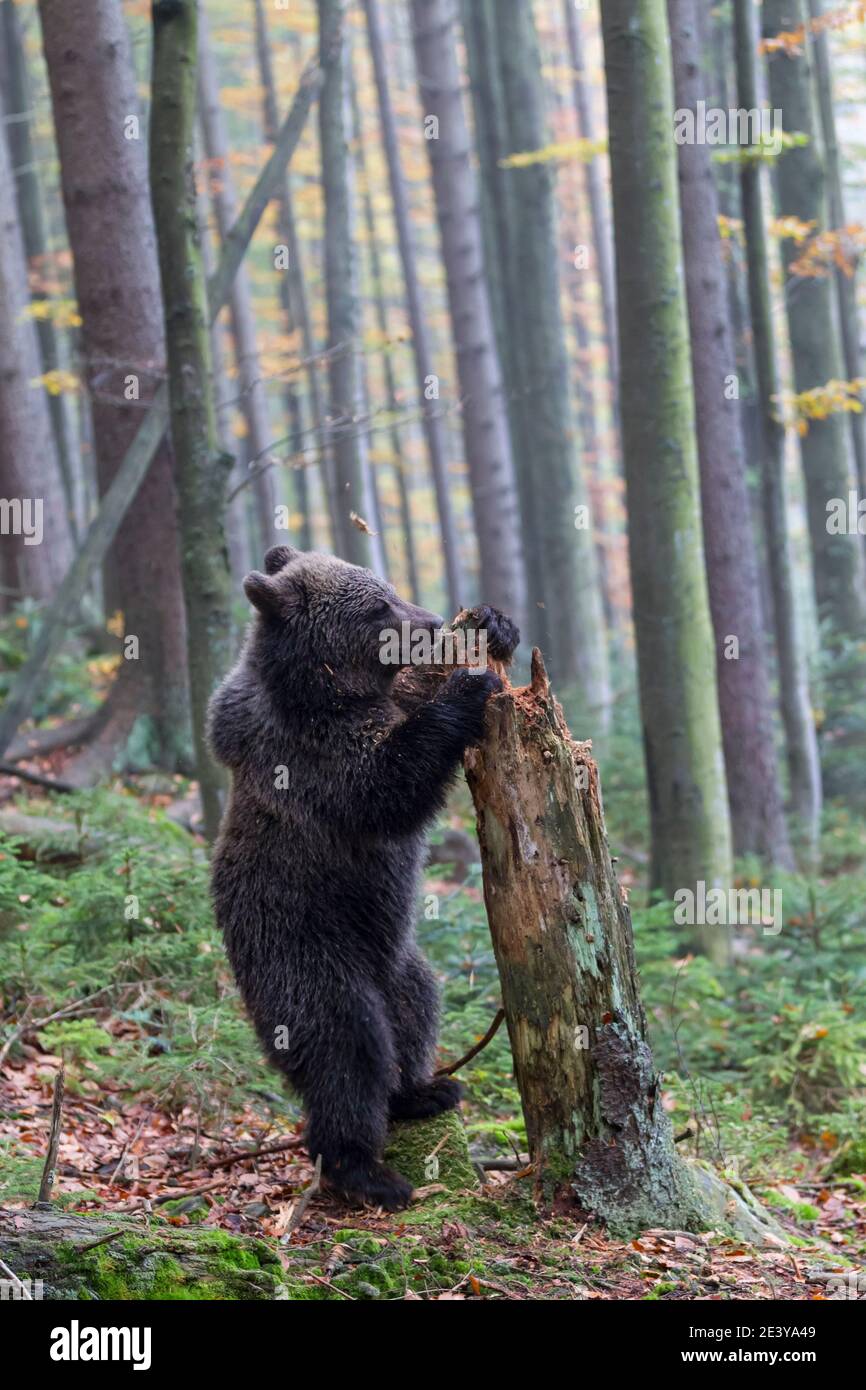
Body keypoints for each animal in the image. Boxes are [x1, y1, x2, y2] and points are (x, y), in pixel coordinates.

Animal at [207, 545, 519, 1210]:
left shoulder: (375, 702)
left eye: (390, 588)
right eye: (377, 610)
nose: (431, 621)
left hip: (396, 958)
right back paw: (365, 1171)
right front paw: (469, 685)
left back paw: (424, 1090)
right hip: (306, 953)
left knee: (416, 1006)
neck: (322, 692)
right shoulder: (310, 757)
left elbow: (409, 697)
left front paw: (491, 623)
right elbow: (385, 784)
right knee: (346, 1047)